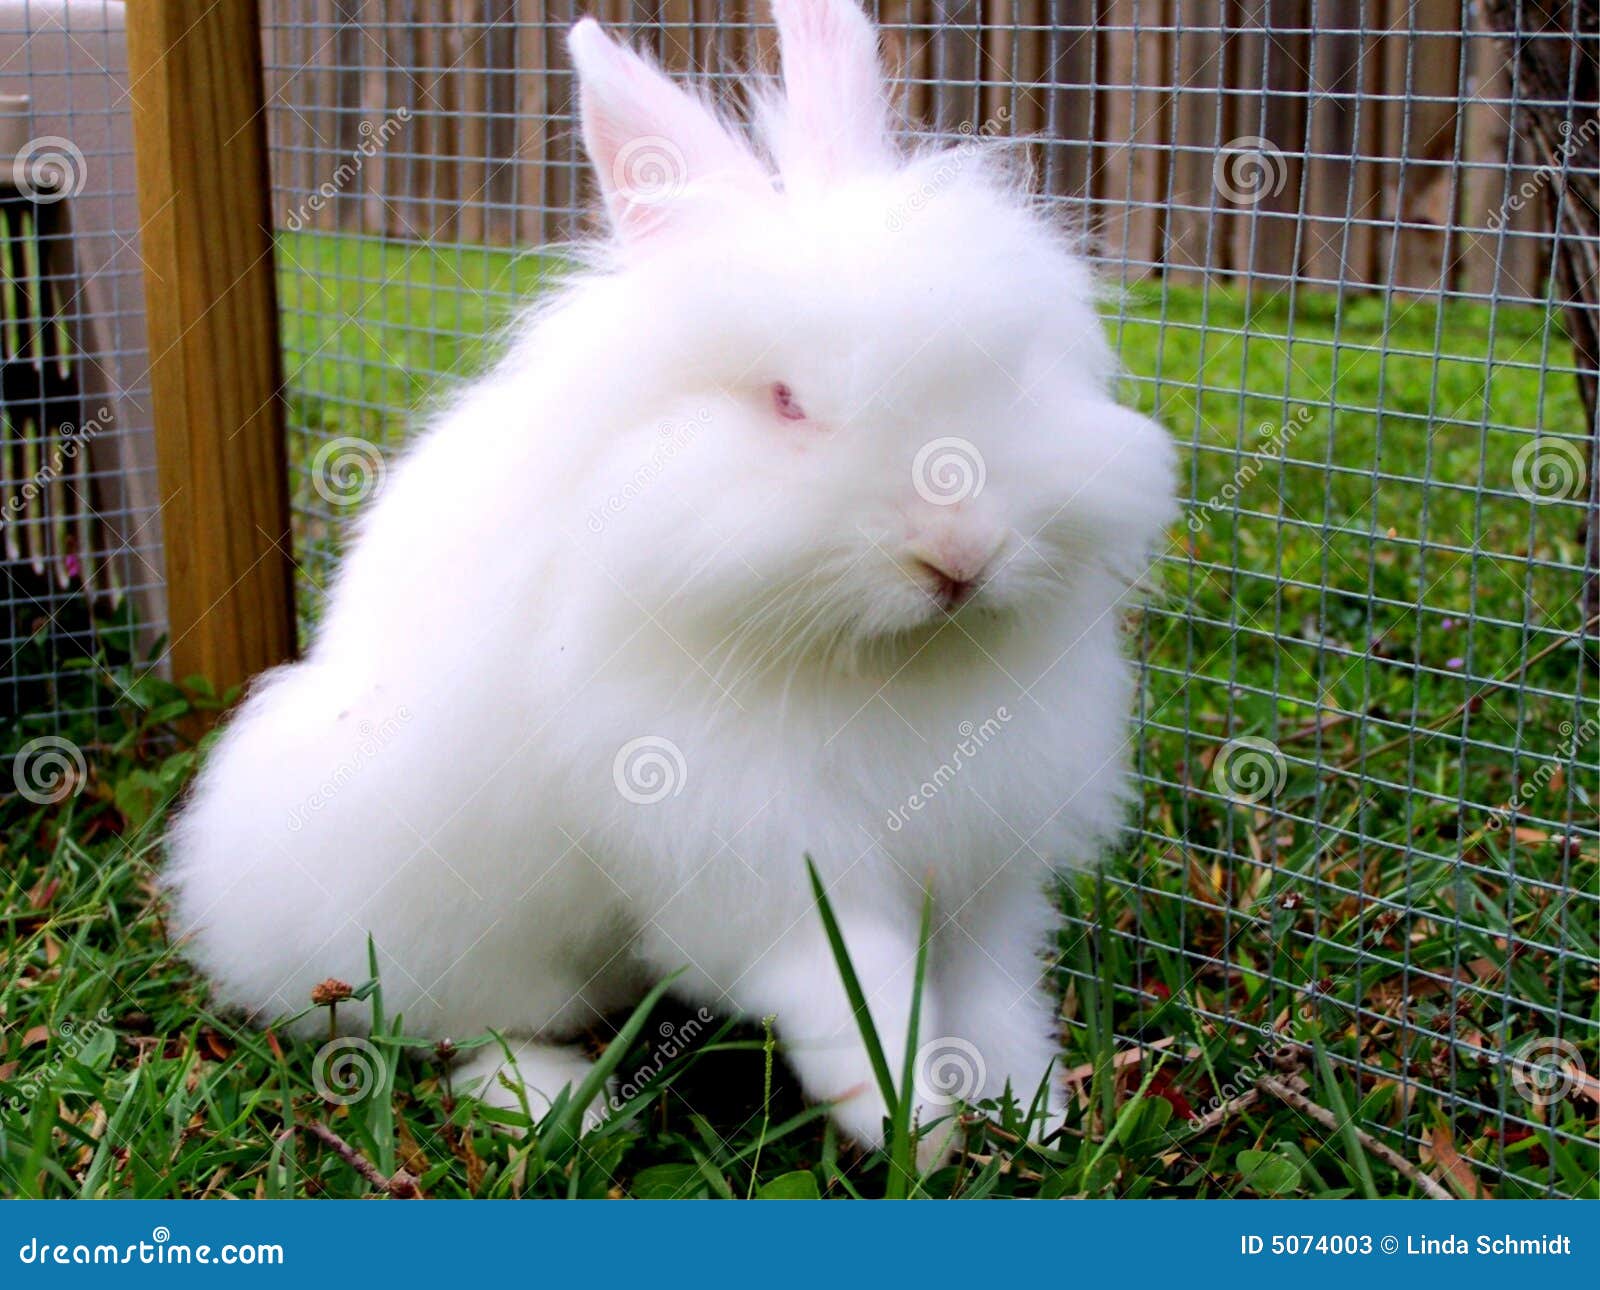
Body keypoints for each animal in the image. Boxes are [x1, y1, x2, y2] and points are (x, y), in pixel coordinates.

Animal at [165, 0, 1175, 1164]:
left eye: (1008, 373)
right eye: (785, 400)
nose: (957, 555)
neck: (886, 666)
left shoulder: (984, 862)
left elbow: (992, 987)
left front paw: (1030, 1107)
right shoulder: (756, 859)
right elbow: (850, 988)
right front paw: (908, 1124)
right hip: (445, 921)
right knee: (458, 1024)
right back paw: (550, 1097)